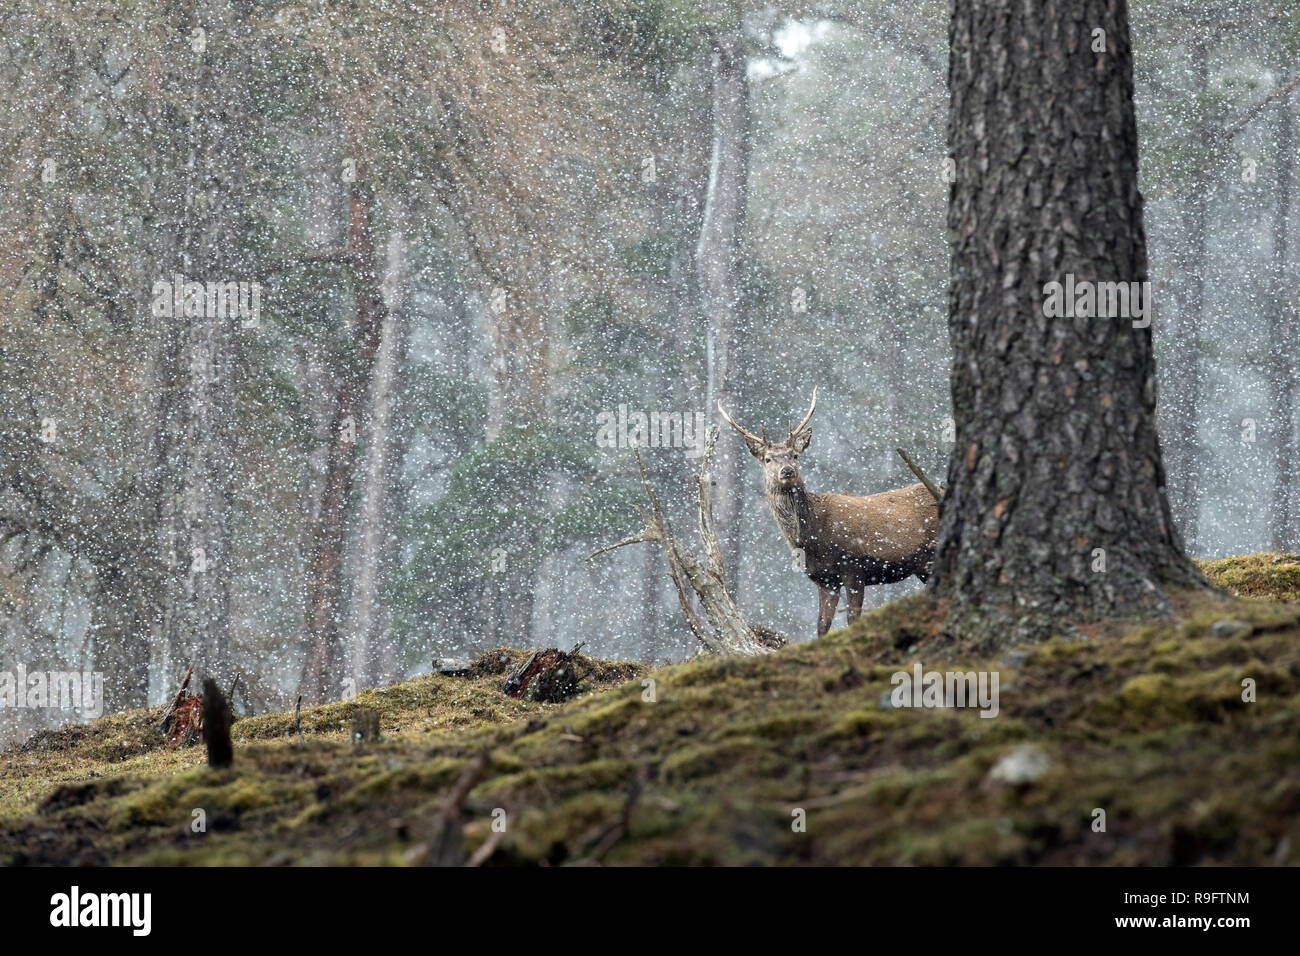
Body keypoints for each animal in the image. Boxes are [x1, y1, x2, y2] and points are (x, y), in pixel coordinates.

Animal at [718, 388, 942, 637]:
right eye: (767, 459)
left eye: (795, 455)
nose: (787, 471)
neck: (812, 540)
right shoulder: (825, 580)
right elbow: (822, 625)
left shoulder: (855, 567)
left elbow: (853, 619)